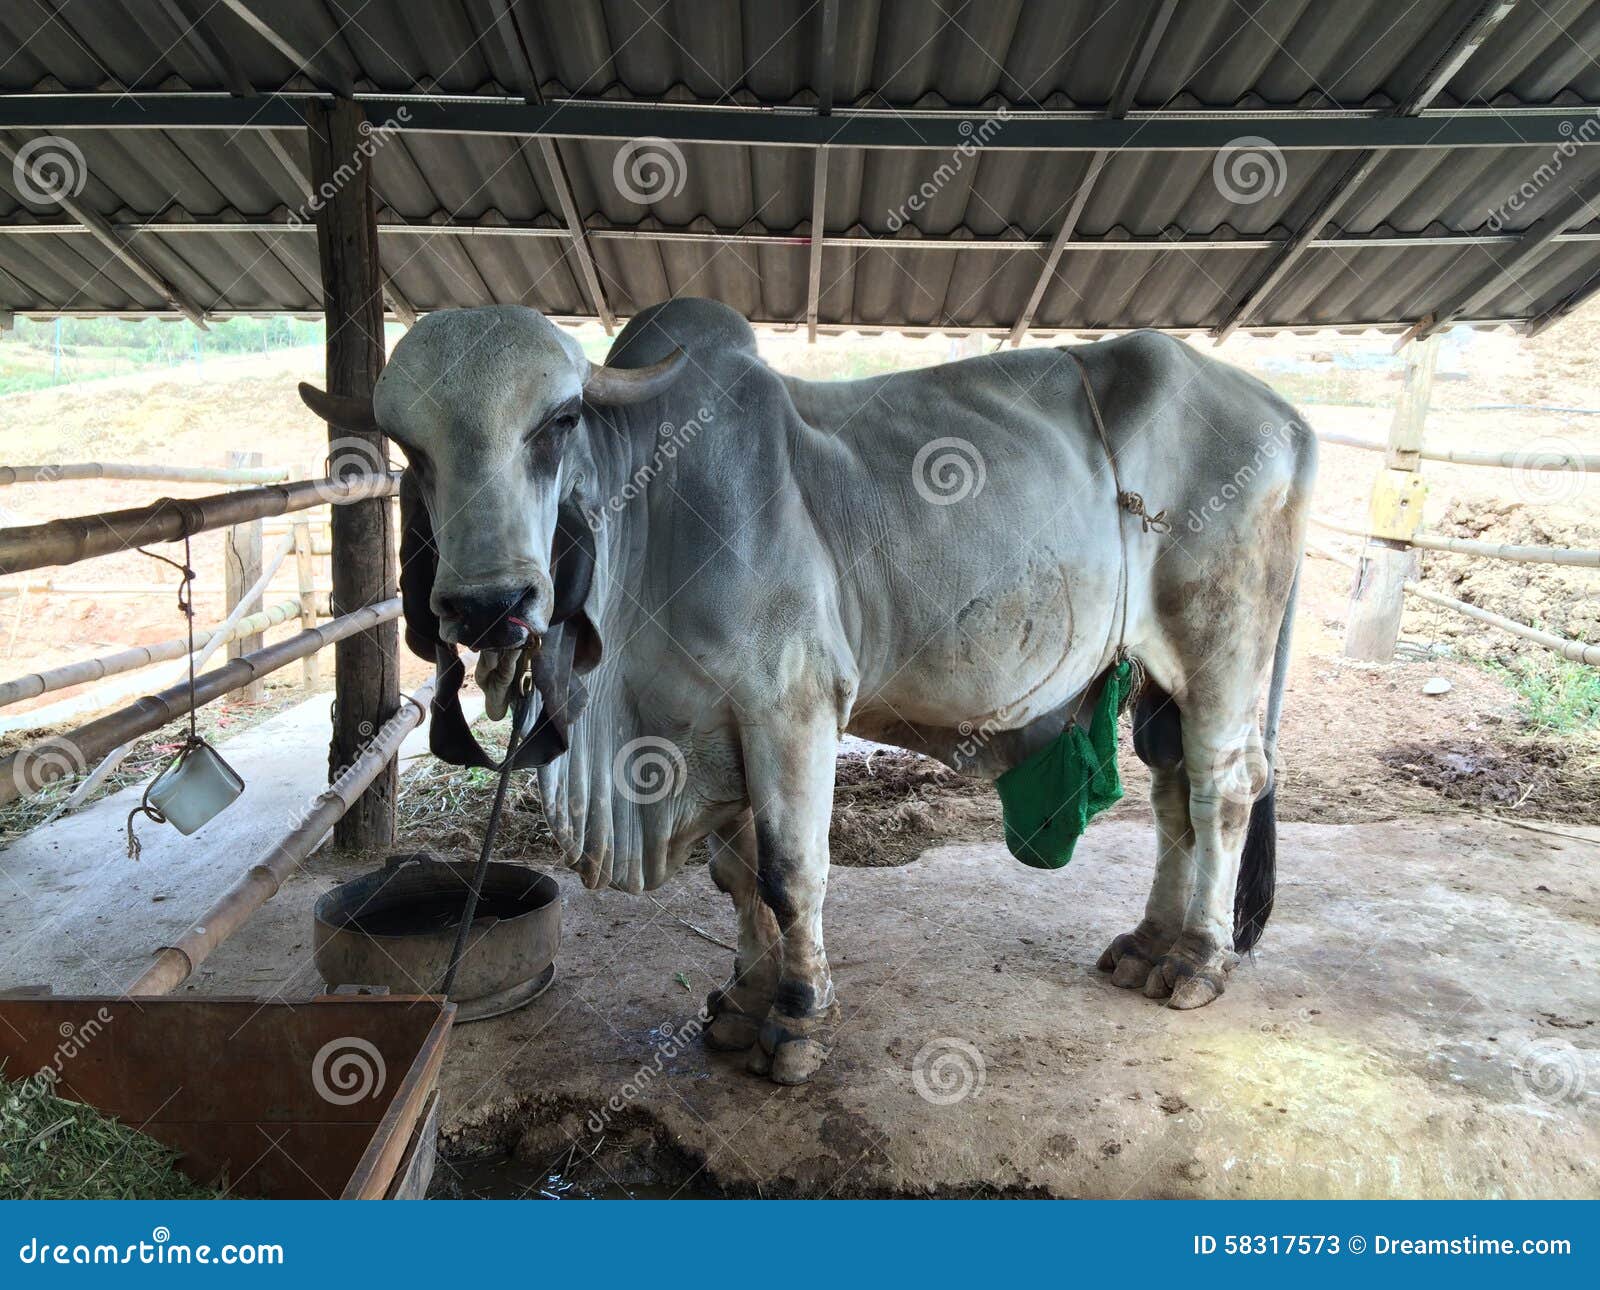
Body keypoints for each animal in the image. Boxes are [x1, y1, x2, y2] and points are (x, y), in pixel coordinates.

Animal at [300, 297, 1314, 1086]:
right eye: (409, 446)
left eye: (556, 423)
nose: (488, 605)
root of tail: (1282, 411)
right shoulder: (710, 732)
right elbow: (736, 874)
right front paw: (744, 1001)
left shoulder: (788, 706)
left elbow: (791, 876)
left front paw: (796, 1019)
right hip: (1161, 682)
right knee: (1176, 795)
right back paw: (1149, 944)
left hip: (1222, 651)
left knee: (1223, 791)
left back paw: (1197, 960)